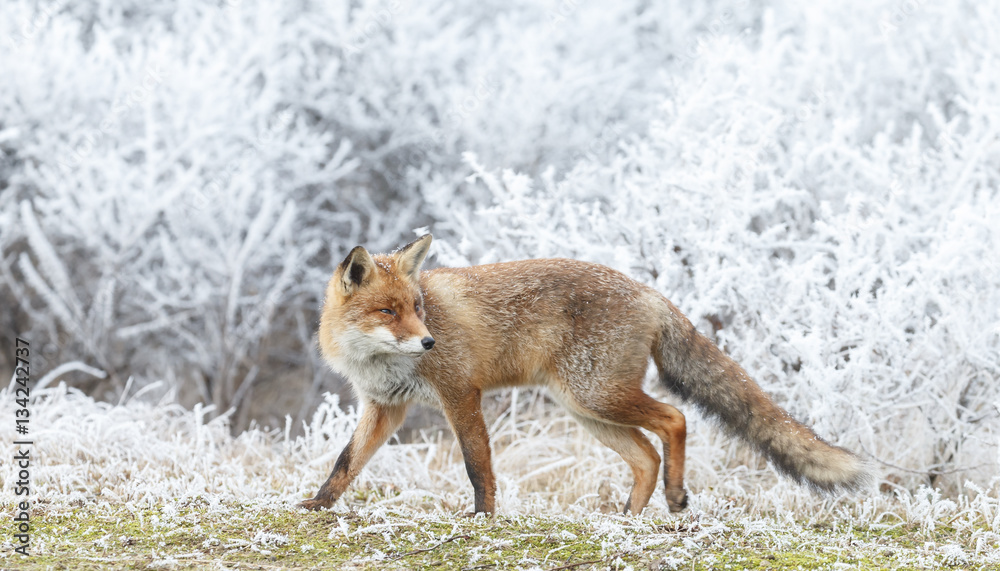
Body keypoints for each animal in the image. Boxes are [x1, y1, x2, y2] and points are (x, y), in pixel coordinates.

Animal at [298, 234, 870, 515]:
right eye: (389, 312)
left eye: (417, 308)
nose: (429, 342)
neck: (377, 361)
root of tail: (648, 291)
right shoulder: (384, 406)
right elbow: (345, 464)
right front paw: (316, 506)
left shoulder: (461, 393)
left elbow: (477, 465)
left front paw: (483, 517)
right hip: (585, 410)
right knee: (645, 456)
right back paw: (628, 518)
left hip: (596, 395)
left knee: (675, 419)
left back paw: (675, 497)